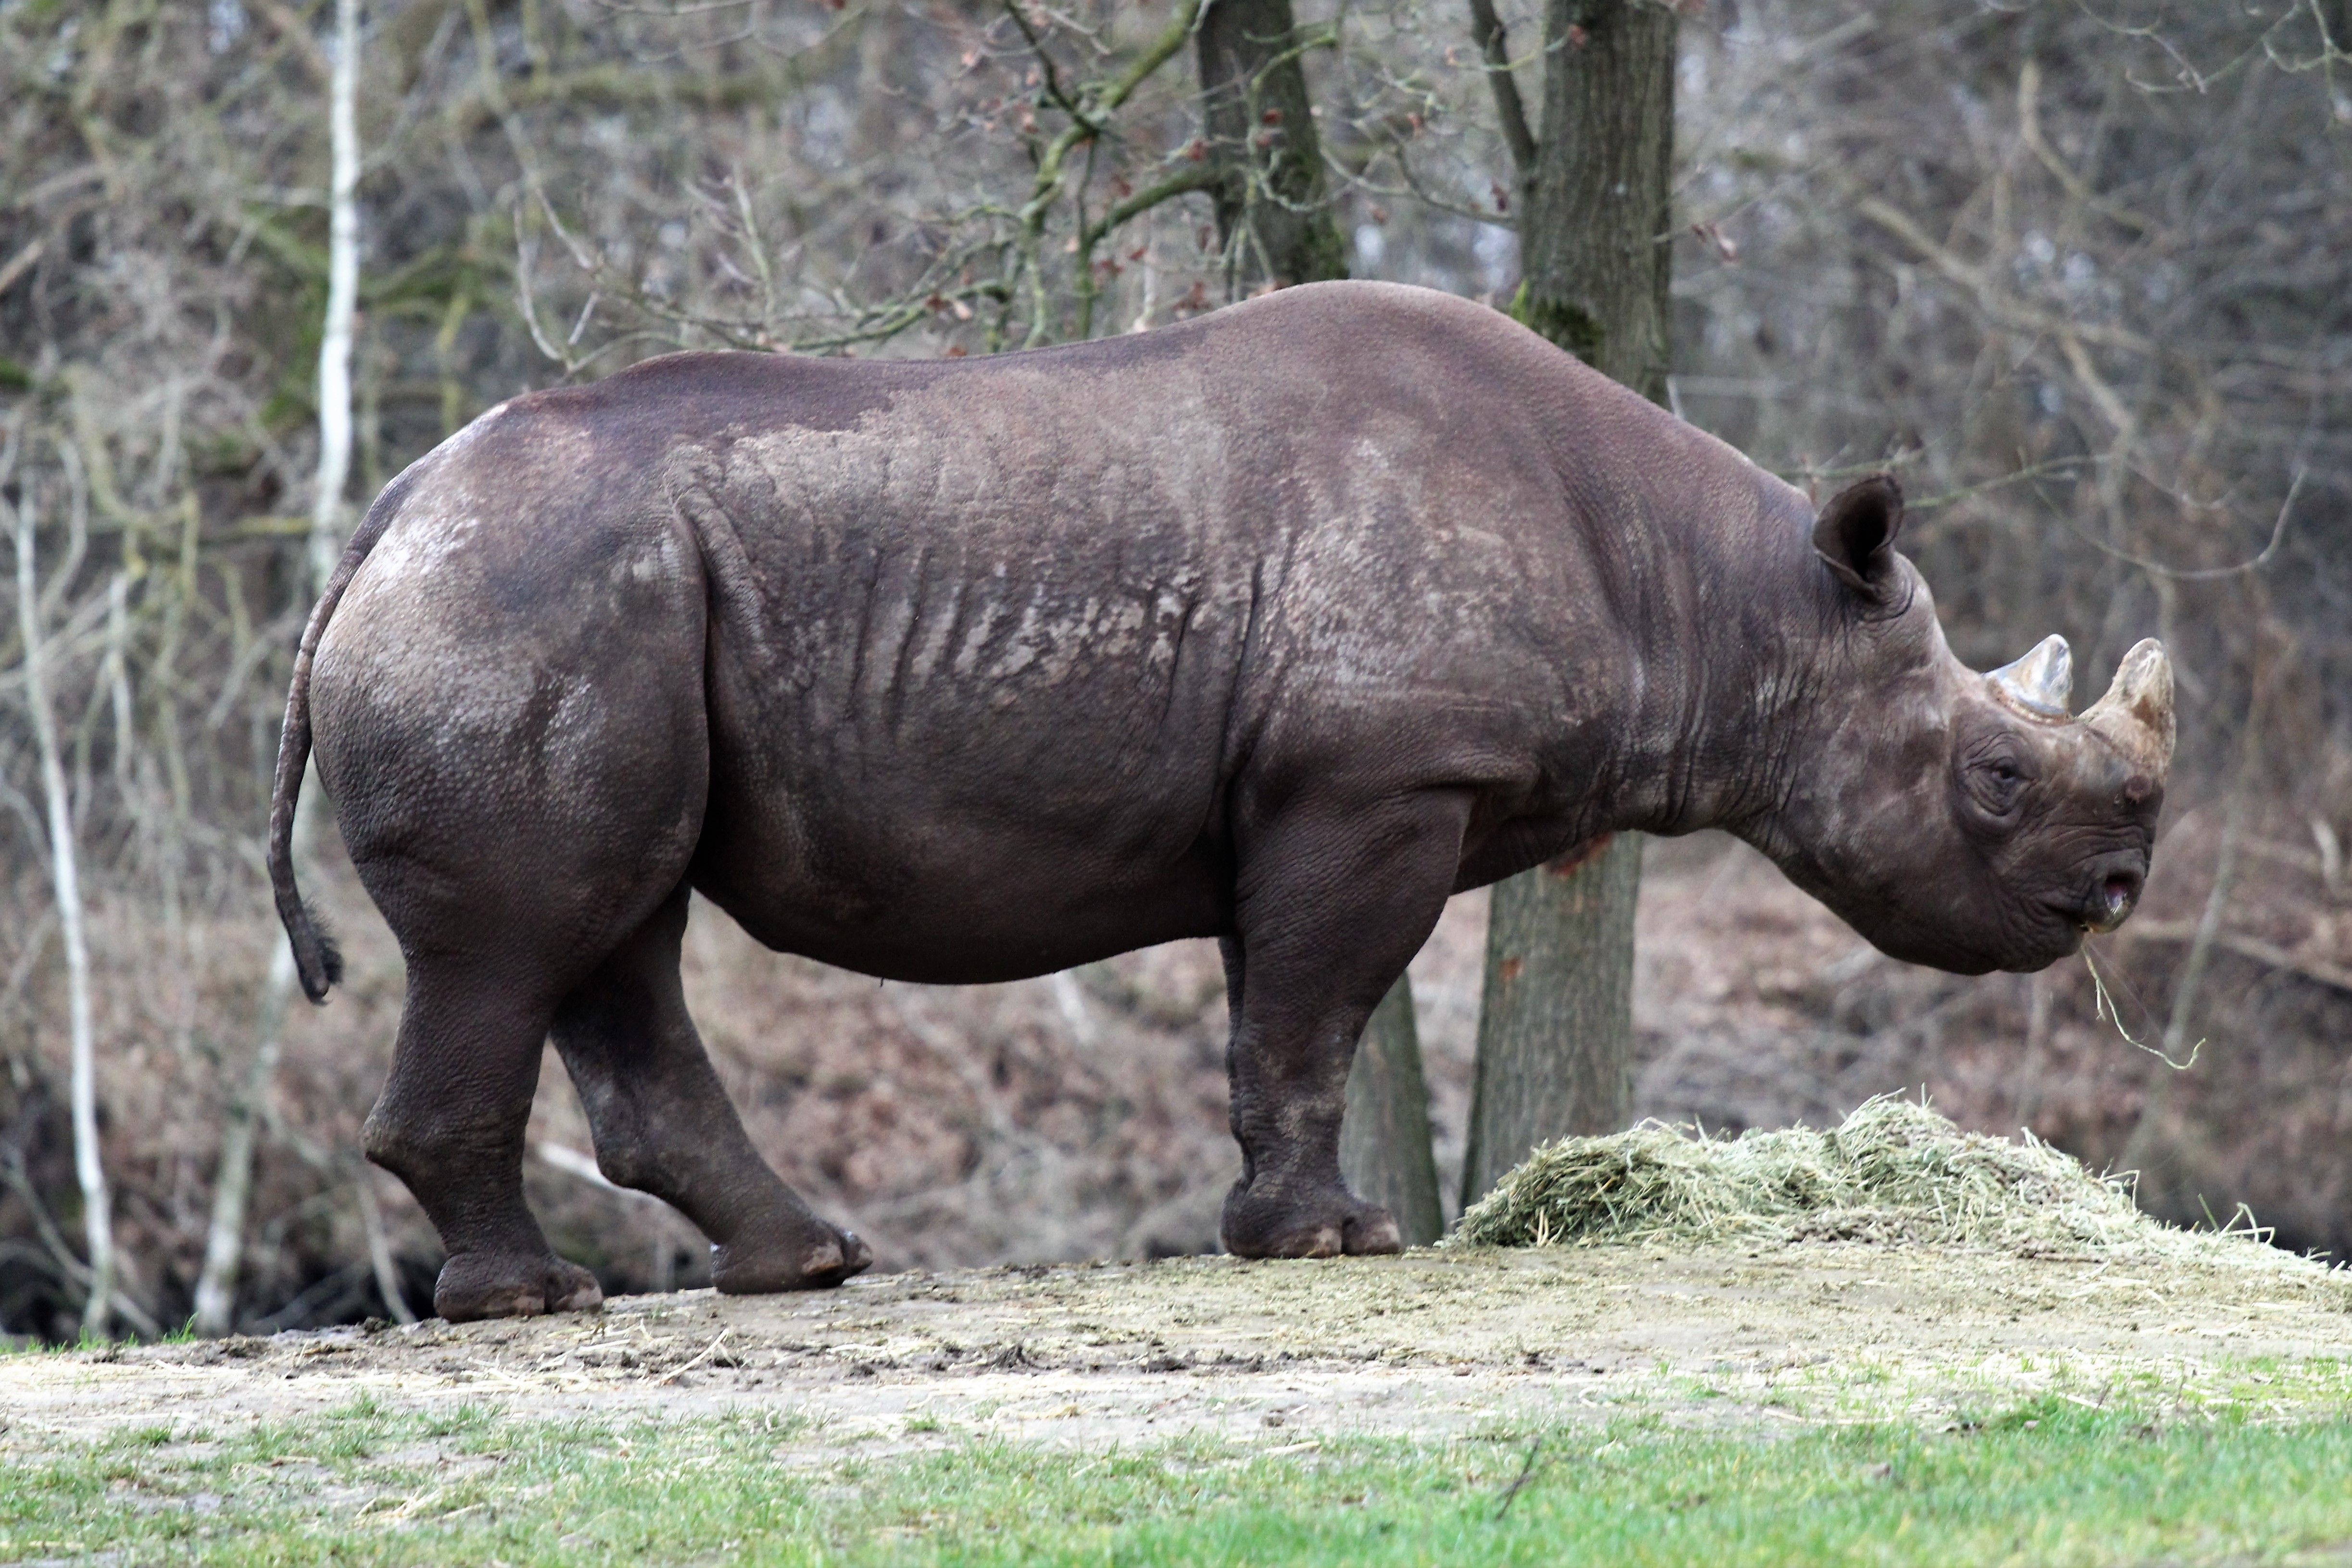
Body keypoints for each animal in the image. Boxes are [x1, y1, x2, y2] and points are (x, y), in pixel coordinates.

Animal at [268, 281, 2172, 1322]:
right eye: (1996, 777)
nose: (2117, 892)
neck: (1719, 593)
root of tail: (384, 520)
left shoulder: (1323, 789)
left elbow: (1284, 1011)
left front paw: (1290, 1231)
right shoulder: (1375, 774)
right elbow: (1313, 1014)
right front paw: (1335, 1240)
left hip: (577, 596)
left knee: (619, 922)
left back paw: (802, 1261)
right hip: (529, 592)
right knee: (532, 933)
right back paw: (537, 1298)